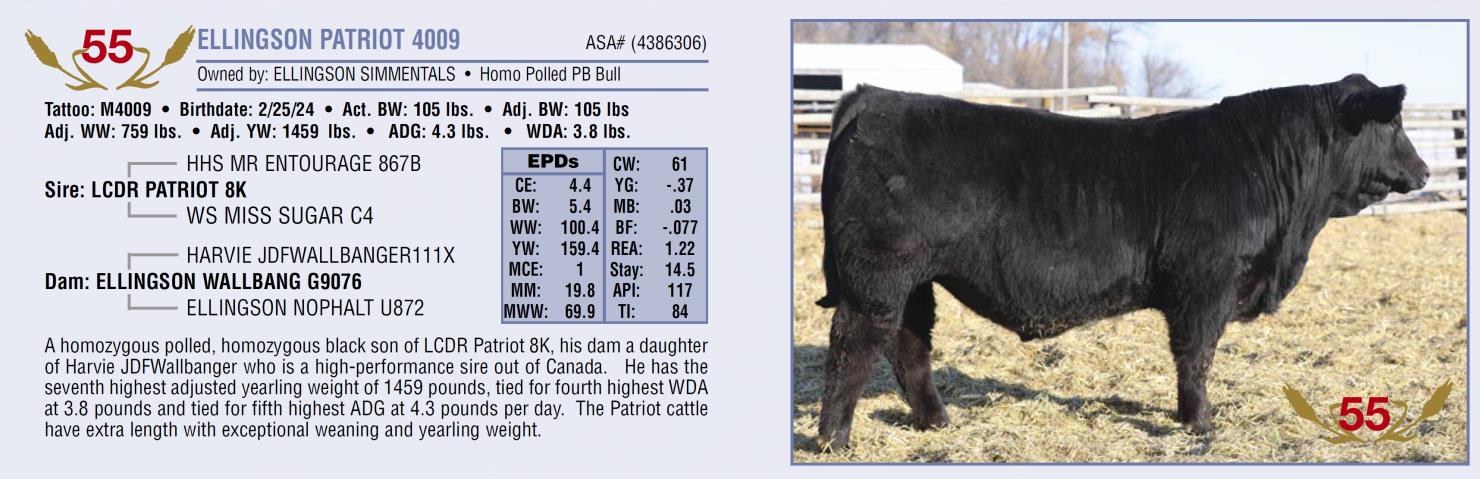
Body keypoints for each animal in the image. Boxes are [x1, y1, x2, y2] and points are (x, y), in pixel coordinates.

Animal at [813, 74, 1430, 450]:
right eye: (1395, 125)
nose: (1424, 171)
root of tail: (874, 96)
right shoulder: (1205, 284)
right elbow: (1195, 357)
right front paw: (1200, 422)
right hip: (878, 272)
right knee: (853, 346)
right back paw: (834, 440)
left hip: (915, 280)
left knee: (908, 345)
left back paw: (936, 423)